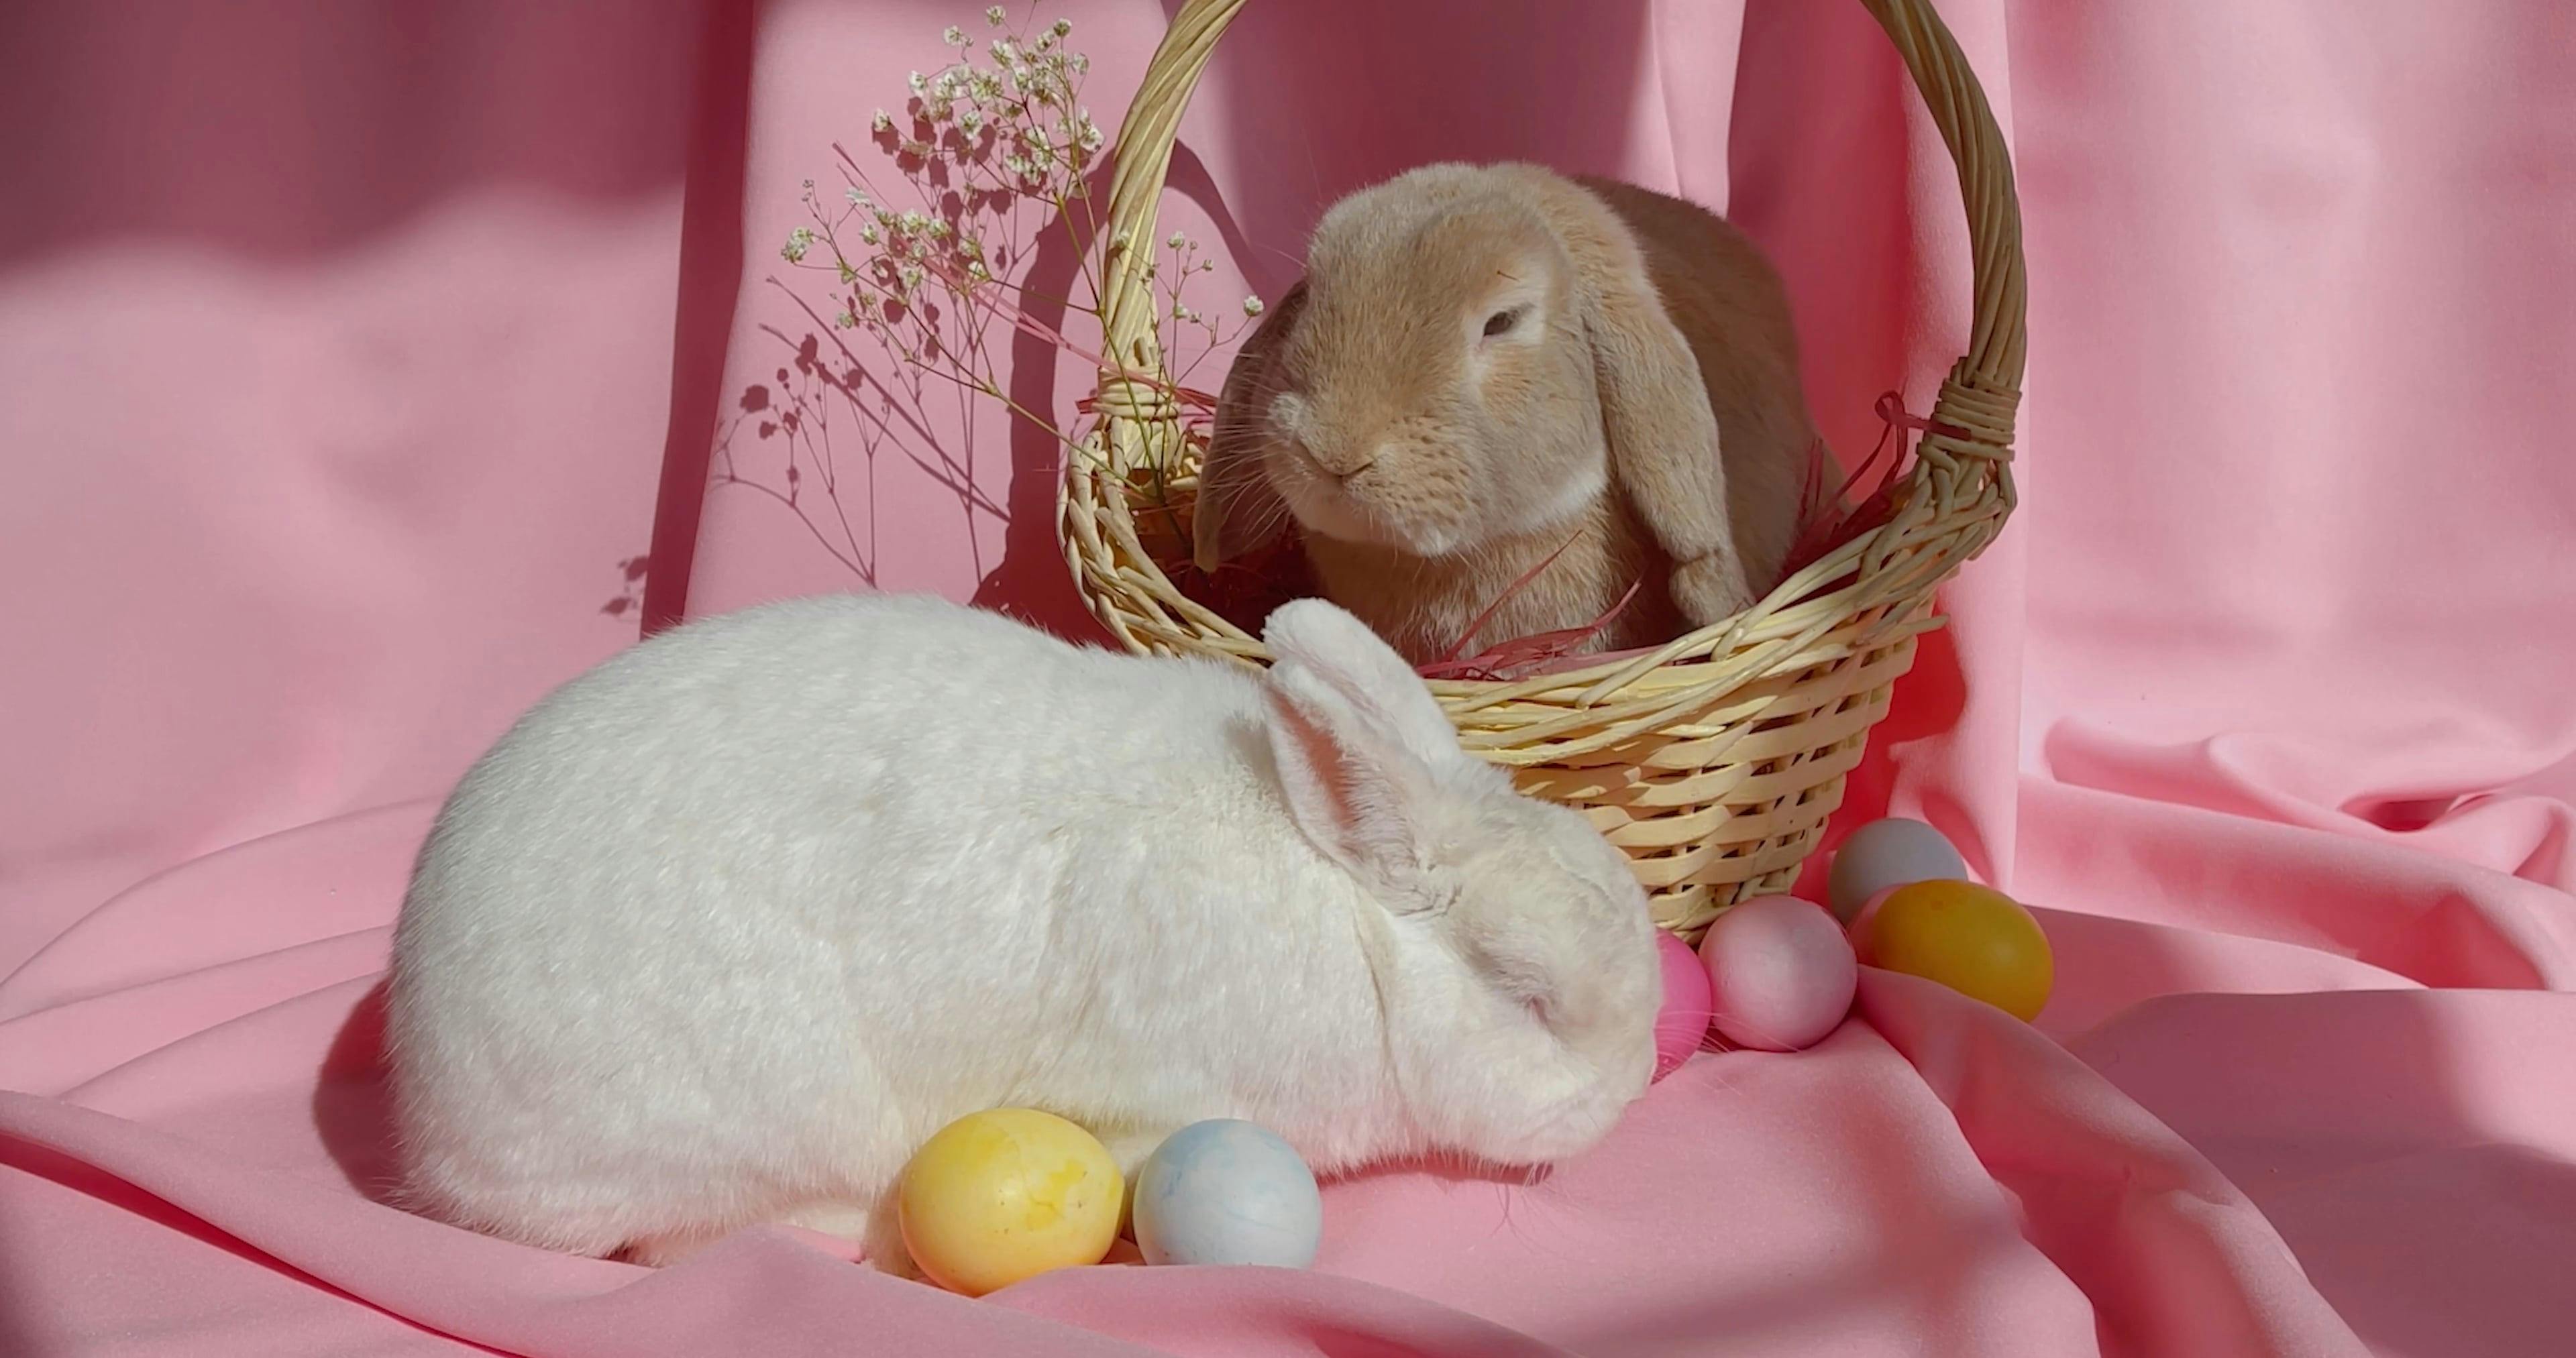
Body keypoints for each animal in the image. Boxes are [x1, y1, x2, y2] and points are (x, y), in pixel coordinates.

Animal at [383, 591, 1660, 1274]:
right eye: (1527, 997)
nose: (1636, 1087)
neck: (1354, 924)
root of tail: (424, 1110)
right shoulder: (1157, 1099)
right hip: (728, 1128)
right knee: (679, 1241)